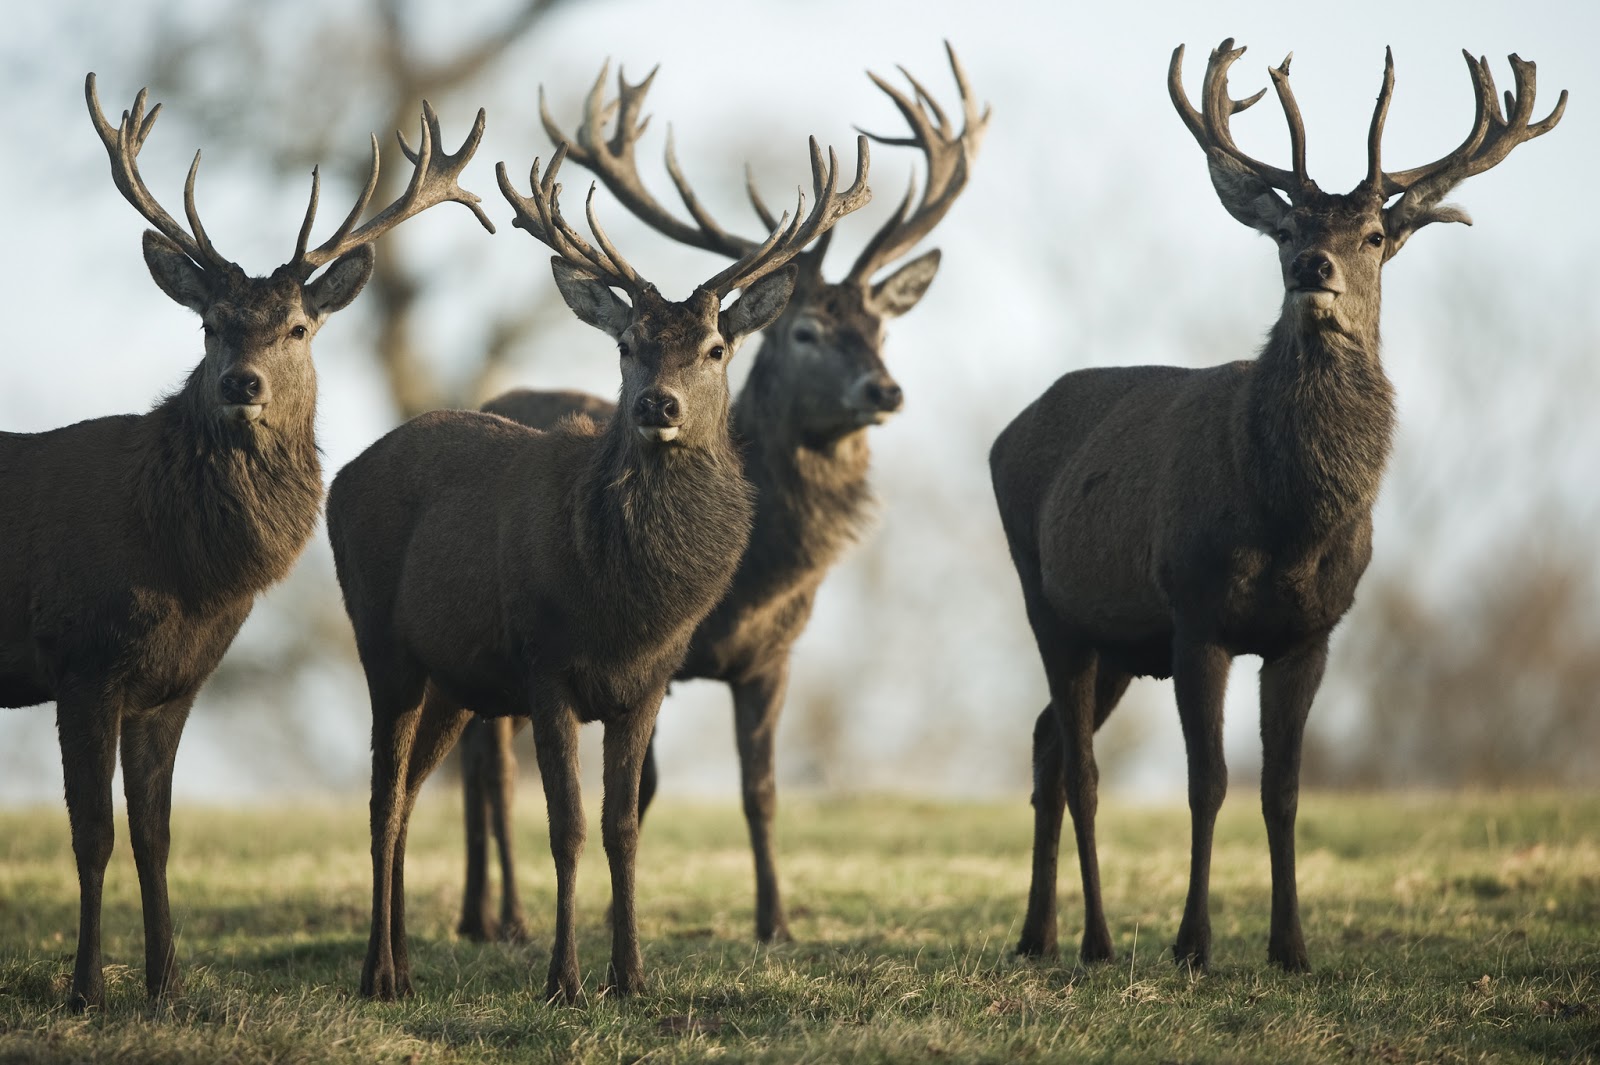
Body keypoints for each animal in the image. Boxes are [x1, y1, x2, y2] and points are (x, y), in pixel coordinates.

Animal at [0, 75, 492, 1012]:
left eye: (298, 327)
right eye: (210, 324)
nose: (242, 384)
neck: (185, 568)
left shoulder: (173, 683)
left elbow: (155, 834)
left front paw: (164, 985)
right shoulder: (81, 659)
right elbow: (92, 836)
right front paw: (84, 991)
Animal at [325, 125, 870, 1001]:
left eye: (716, 347)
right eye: (626, 345)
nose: (659, 405)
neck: (627, 603)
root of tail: (341, 476)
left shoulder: (647, 680)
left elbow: (623, 824)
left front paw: (633, 975)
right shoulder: (544, 665)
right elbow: (568, 825)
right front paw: (564, 980)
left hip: (454, 680)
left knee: (408, 795)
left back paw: (405, 962)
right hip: (383, 643)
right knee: (382, 796)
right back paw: (381, 972)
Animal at [452, 46, 987, 947]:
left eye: (881, 326)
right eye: (805, 330)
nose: (884, 389)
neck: (757, 580)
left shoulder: (773, 655)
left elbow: (759, 791)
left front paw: (775, 922)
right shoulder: (650, 658)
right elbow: (641, 792)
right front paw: (614, 921)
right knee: (484, 765)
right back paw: (499, 918)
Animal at [989, 39, 1564, 972]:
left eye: (1374, 234)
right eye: (1289, 229)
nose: (1312, 270)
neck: (1291, 521)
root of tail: (1005, 434)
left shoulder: (1312, 630)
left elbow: (1285, 790)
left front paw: (1291, 945)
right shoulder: (1196, 615)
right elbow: (1208, 782)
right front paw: (1192, 942)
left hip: (1118, 639)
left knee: (1045, 743)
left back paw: (1037, 934)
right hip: (1049, 600)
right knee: (1080, 766)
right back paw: (1096, 939)